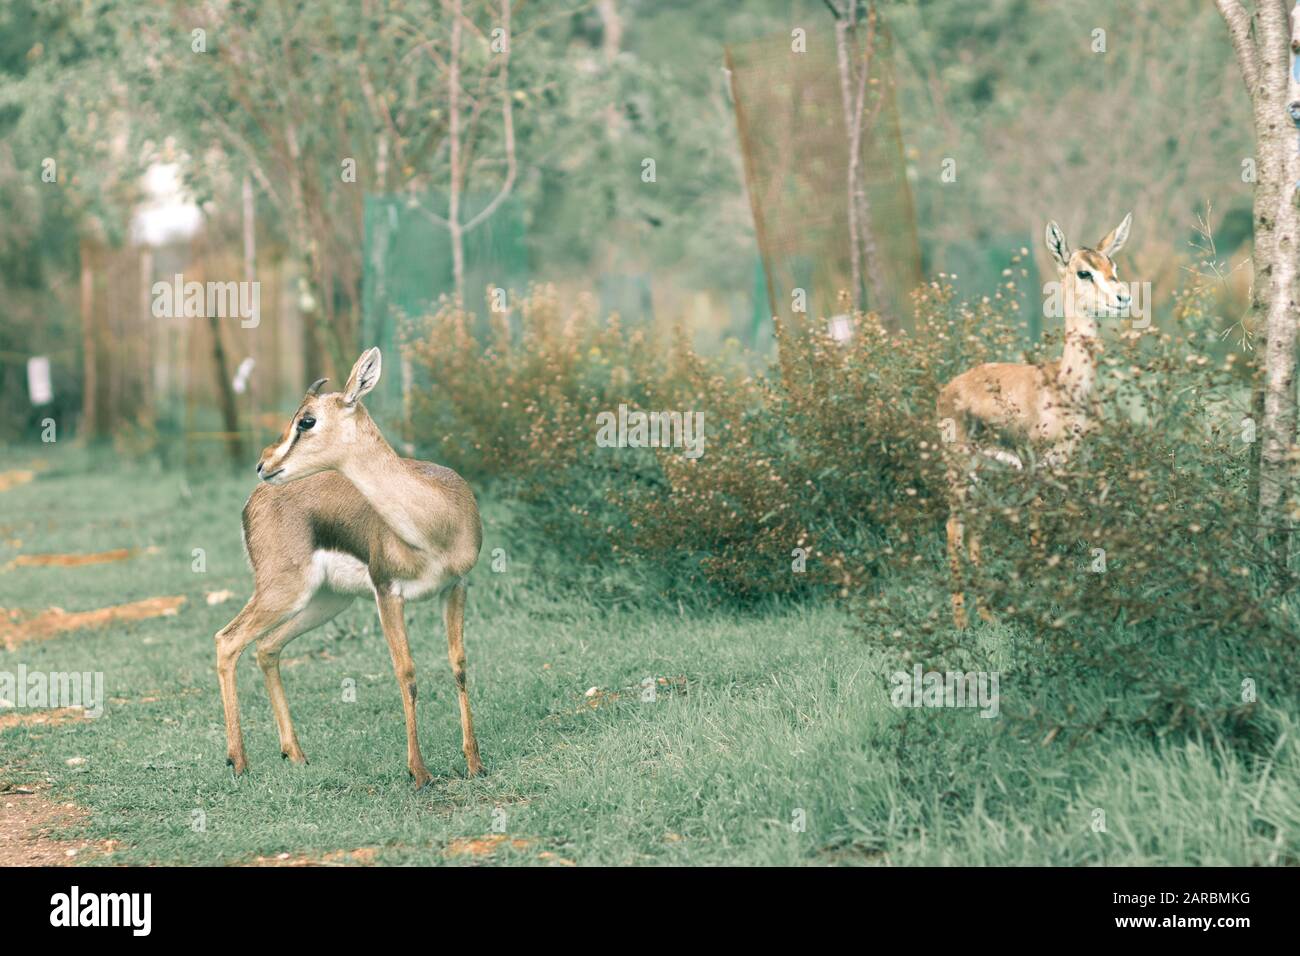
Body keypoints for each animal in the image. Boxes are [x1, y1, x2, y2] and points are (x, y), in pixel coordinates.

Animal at [214, 347, 484, 789]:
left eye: (306, 420)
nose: (264, 463)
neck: (434, 521)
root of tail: (253, 499)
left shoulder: (456, 586)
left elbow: (458, 666)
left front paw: (475, 762)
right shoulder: (387, 591)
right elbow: (406, 673)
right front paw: (419, 771)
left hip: (325, 602)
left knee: (267, 647)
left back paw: (295, 754)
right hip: (283, 592)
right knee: (227, 640)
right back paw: (238, 761)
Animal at [937, 213, 1133, 628]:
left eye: (1113, 265)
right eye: (1083, 271)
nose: (1123, 297)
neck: (1062, 386)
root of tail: (948, 388)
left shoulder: (1074, 467)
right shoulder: (1039, 470)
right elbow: (1039, 536)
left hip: (986, 474)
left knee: (976, 527)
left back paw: (987, 616)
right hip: (959, 468)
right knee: (953, 526)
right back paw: (961, 623)